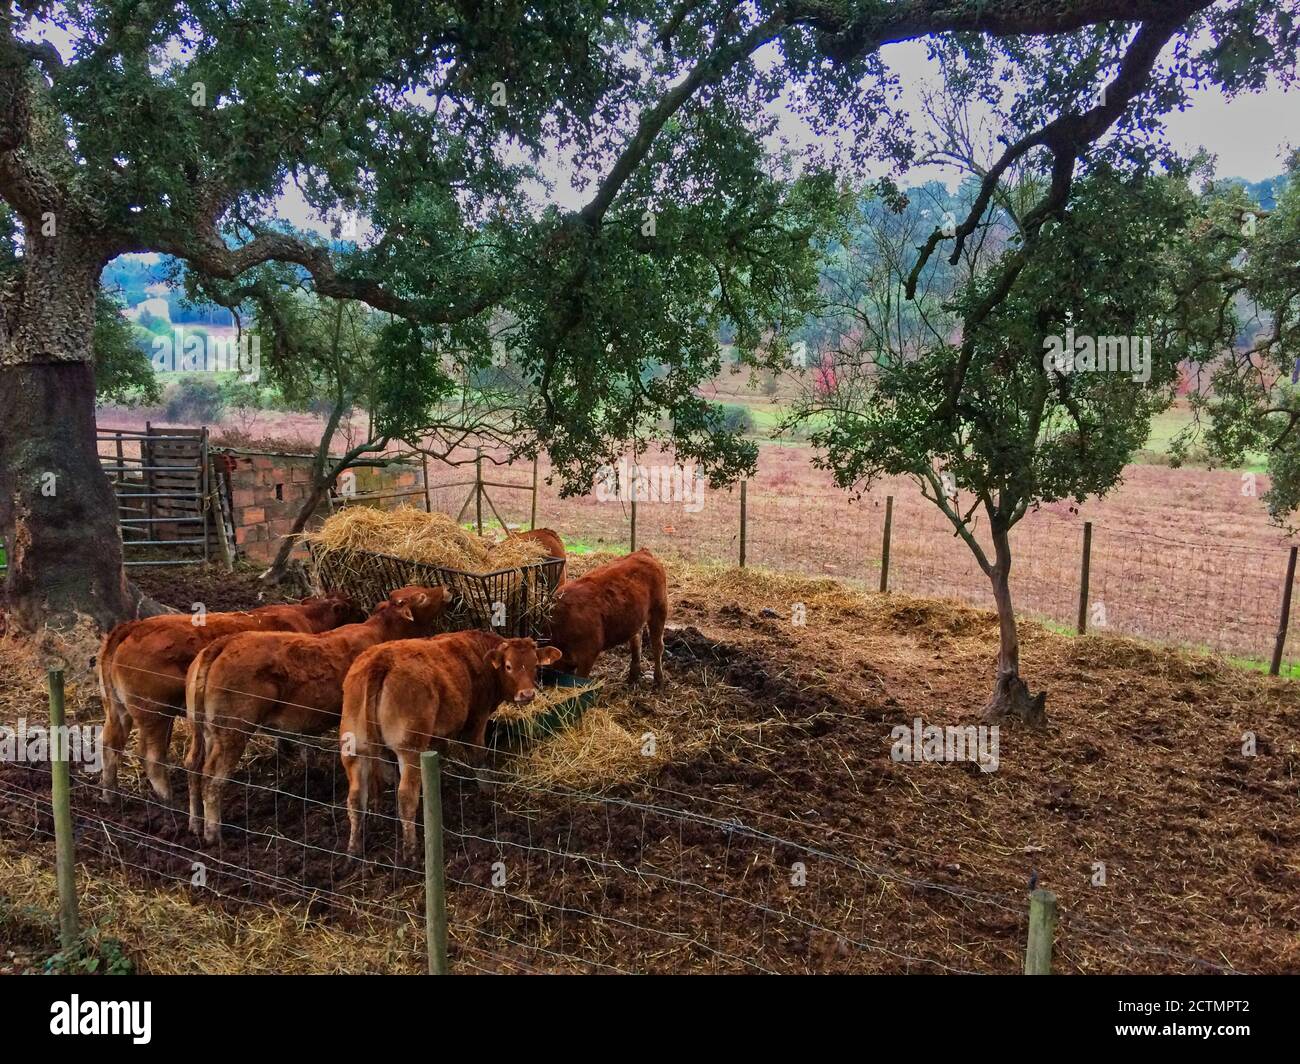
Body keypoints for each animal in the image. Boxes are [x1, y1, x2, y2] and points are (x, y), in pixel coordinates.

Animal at [97, 593, 363, 803]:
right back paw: (168, 798)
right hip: (155, 714)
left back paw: (110, 794)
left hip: (117, 709)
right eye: (356, 609)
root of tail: (132, 627)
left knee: (110, 743)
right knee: (151, 757)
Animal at [185, 586, 450, 842]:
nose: (445, 589)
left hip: (207, 732)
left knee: (194, 768)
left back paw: (195, 824)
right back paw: (213, 833)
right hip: (232, 733)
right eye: (422, 596)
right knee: (211, 778)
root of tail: (222, 644)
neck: (380, 633)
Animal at [340, 630, 561, 856]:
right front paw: (487, 790)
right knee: (406, 797)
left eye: (535, 665)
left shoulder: (440, 734)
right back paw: (410, 850)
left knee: (356, 798)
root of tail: (380, 660)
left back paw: (353, 849)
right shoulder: (476, 718)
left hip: (354, 749)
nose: (527, 694)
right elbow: (477, 755)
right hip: (409, 749)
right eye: (508, 666)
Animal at [545, 548, 668, 686]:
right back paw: (633, 676)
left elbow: (580, 680)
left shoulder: (588, 654)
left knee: (657, 645)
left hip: (660, 609)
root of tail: (642, 552)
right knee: (636, 641)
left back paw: (659, 679)